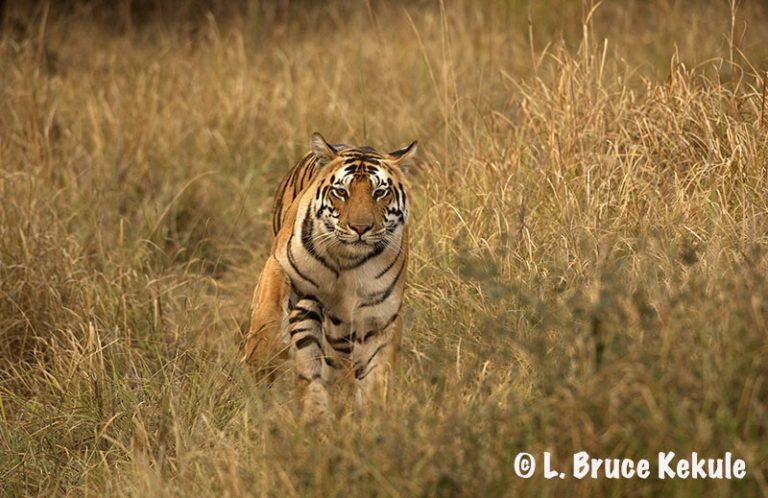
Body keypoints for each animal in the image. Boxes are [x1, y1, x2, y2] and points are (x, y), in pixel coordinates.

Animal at [240, 132, 417, 416]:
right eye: (341, 192)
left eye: (380, 192)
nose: (360, 228)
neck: (347, 260)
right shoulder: (279, 266)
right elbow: (266, 314)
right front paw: (259, 363)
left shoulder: (379, 315)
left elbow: (376, 374)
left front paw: (372, 415)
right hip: (306, 307)